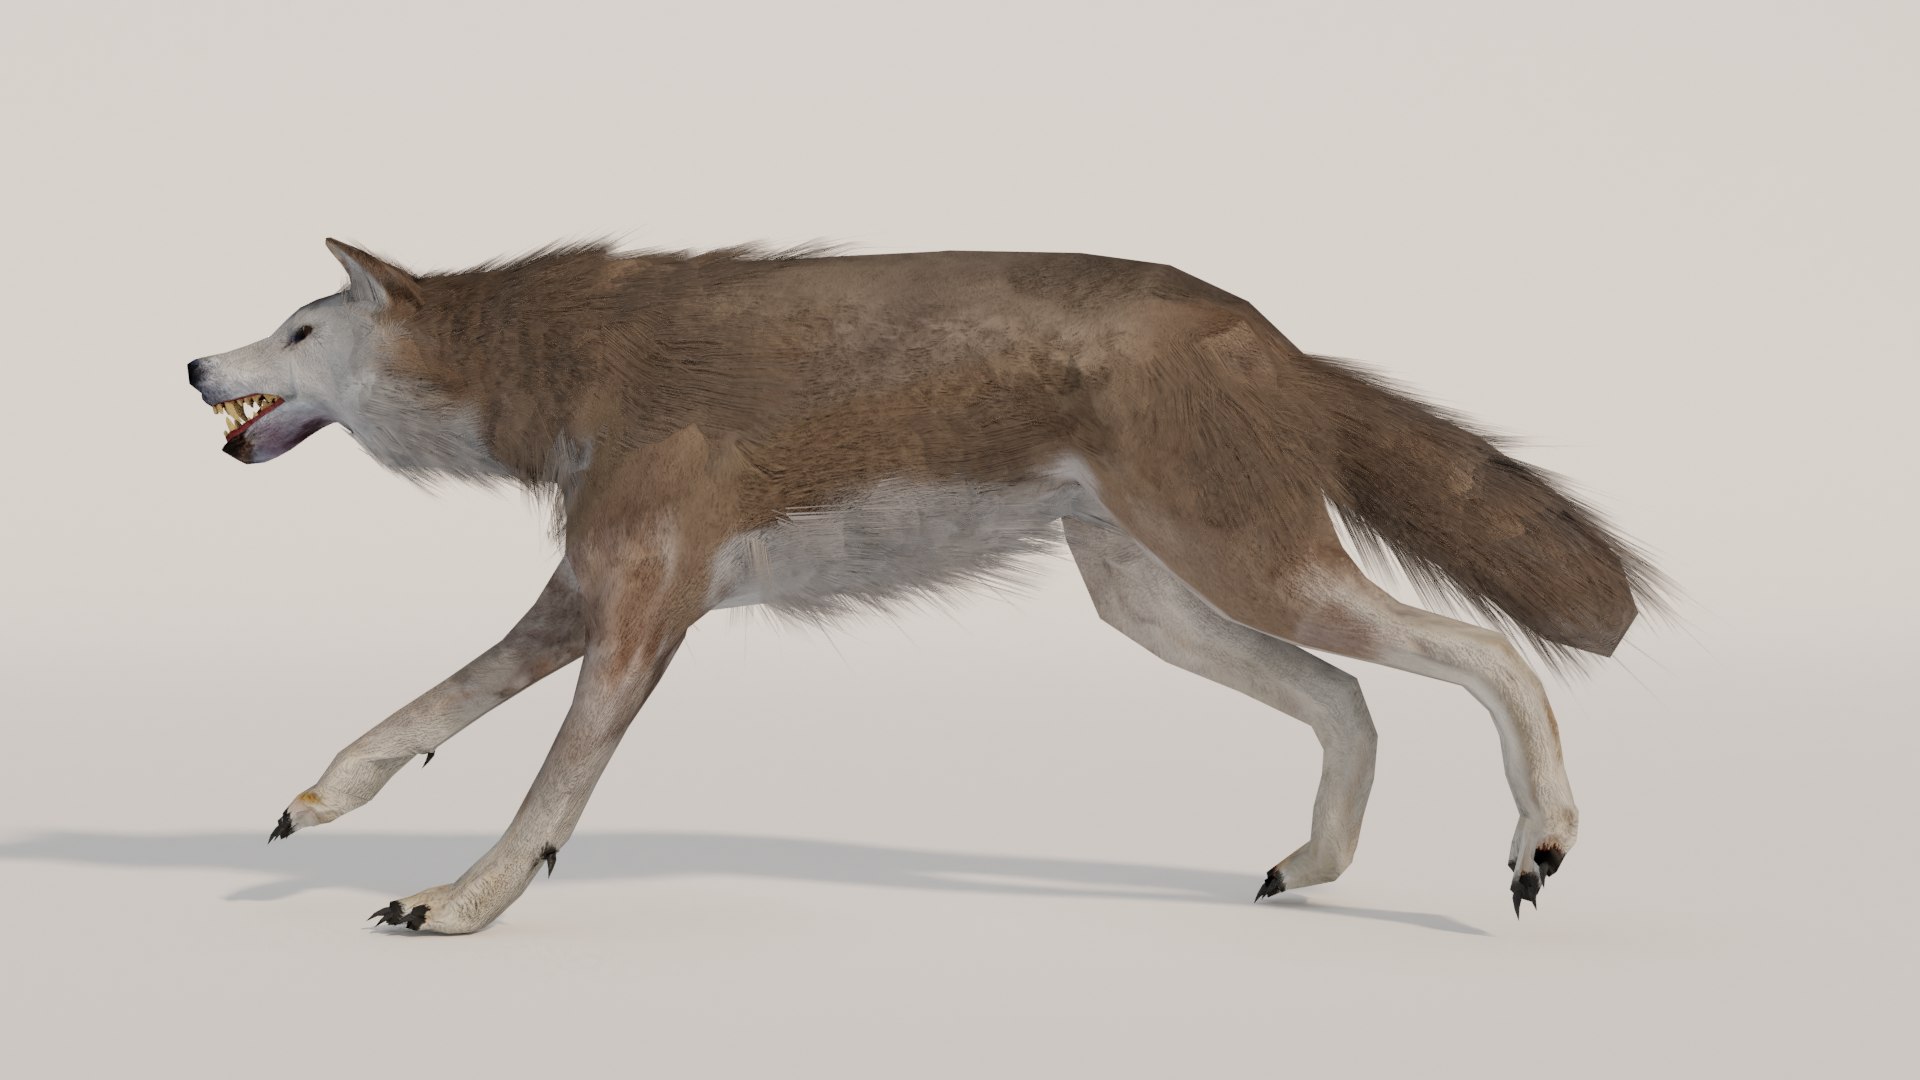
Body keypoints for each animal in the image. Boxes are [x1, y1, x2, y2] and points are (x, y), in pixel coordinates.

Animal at [187, 238, 1669, 934]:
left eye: (300, 330)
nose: (194, 365)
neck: (571, 369)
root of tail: (1271, 334)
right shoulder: (586, 598)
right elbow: (417, 717)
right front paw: (319, 803)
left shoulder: (641, 614)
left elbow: (546, 794)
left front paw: (457, 904)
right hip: (1164, 603)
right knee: (1353, 701)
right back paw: (1310, 864)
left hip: (1252, 572)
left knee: (1489, 659)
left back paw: (1542, 840)